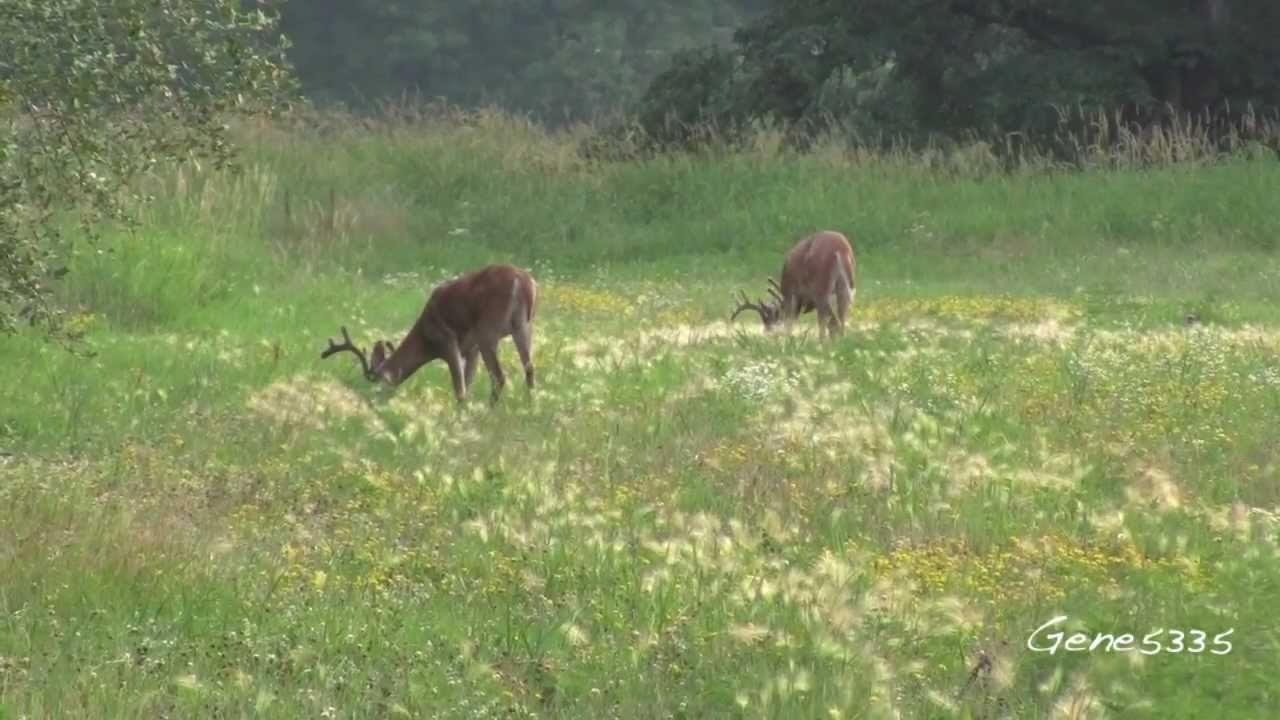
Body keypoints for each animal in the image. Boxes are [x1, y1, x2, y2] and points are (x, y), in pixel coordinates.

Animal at [321, 263, 537, 404]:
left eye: (376, 382)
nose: (371, 402)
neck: (425, 339)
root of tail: (521, 280)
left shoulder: (447, 341)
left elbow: (460, 390)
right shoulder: (471, 348)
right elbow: (468, 383)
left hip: (487, 330)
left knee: (499, 377)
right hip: (523, 326)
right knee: (529, 369)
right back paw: (530, 407)